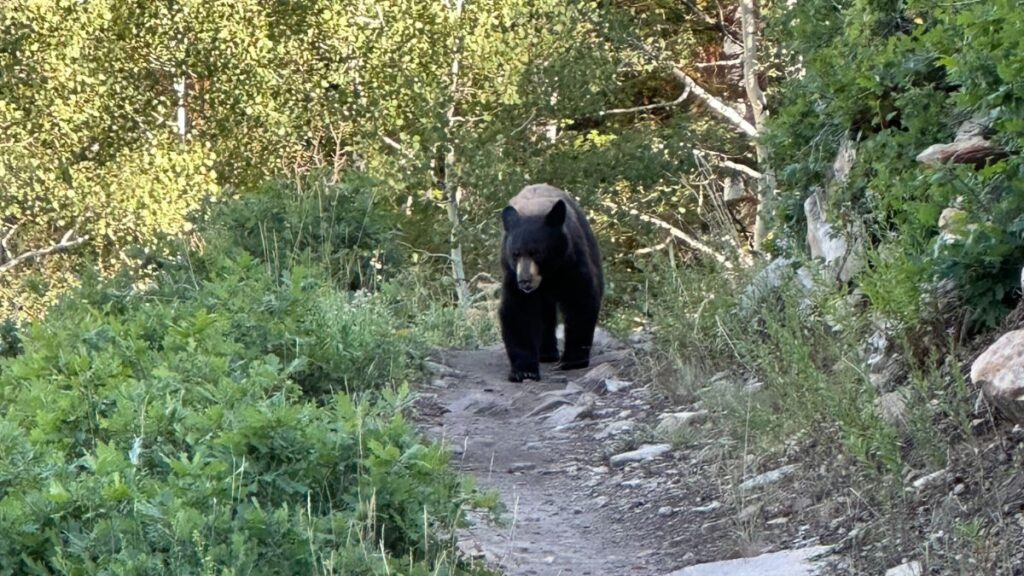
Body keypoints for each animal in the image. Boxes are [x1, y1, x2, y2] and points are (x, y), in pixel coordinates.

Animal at [498, 184, 604, 382]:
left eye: (537, 252)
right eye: (515, 254)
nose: (524, 281)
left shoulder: (571, 263)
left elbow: (580, 299)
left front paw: (573, 360)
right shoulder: (511, 275)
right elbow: (519, 310)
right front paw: (524, 370)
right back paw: (546, 353)